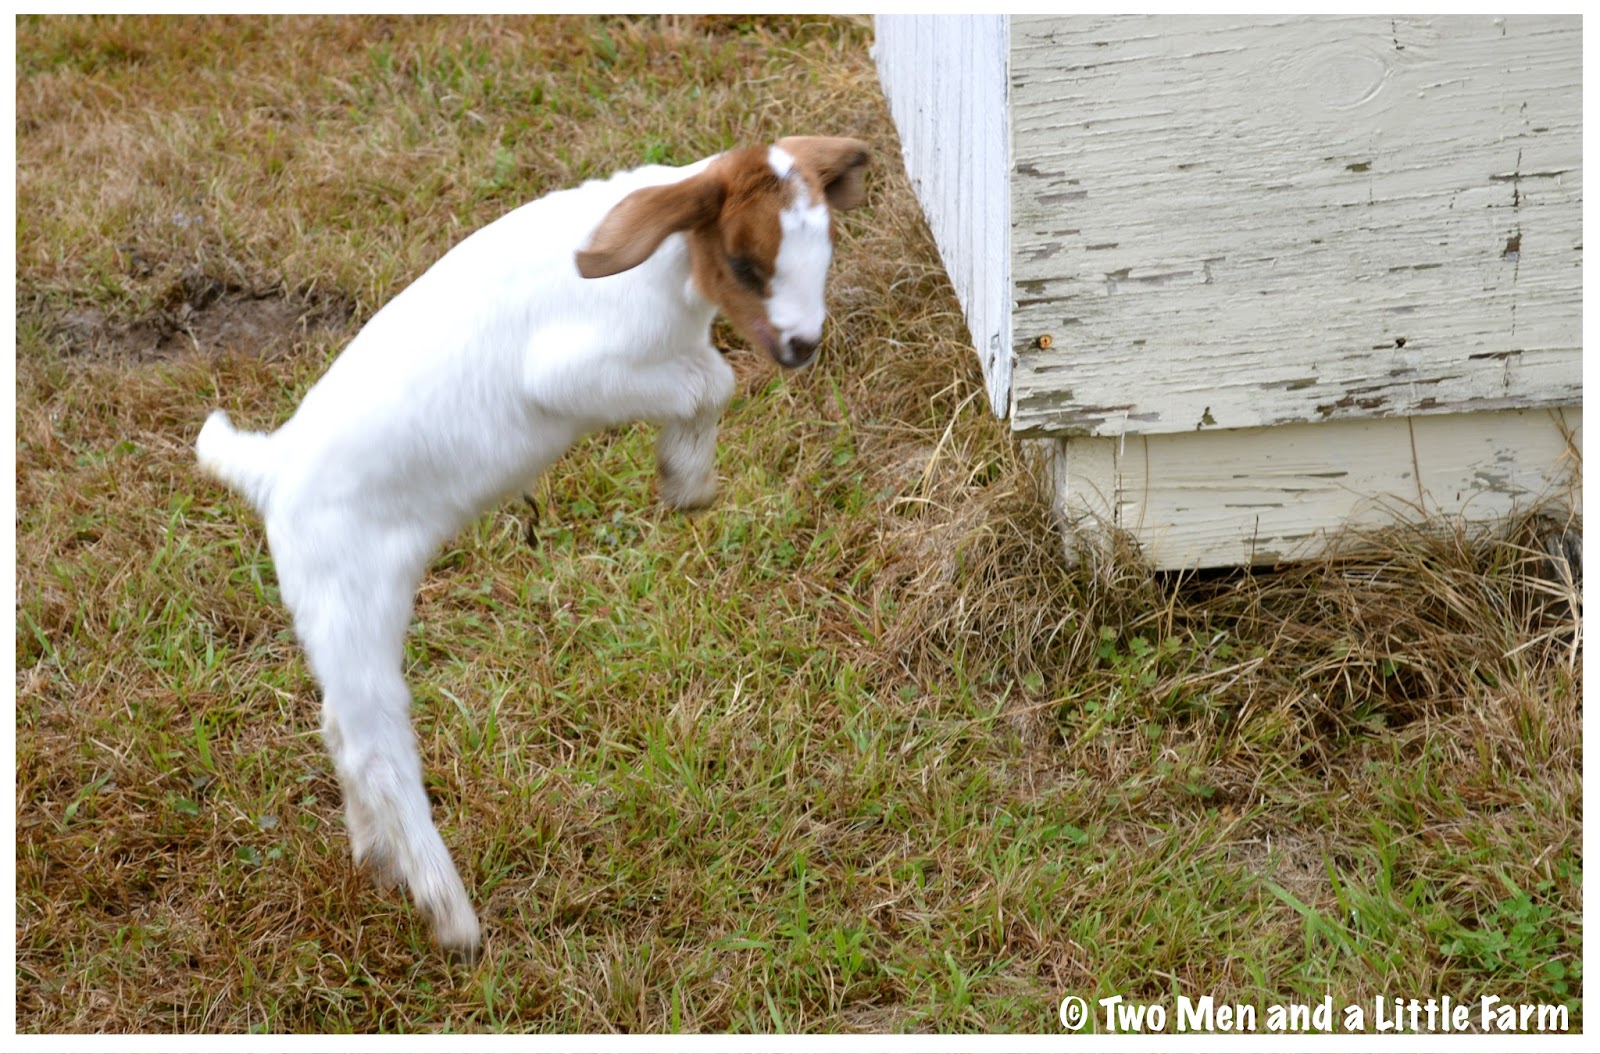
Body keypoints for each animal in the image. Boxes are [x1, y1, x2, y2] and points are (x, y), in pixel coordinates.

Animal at [196, 137, 870, 959]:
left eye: (823, 245)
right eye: (745, 263)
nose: (803, 346)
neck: (668, 269)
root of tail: (272, 468)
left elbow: (710, 381)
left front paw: (687, 478)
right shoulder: (574, 373)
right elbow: (710, 380)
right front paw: (685, 476)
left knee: (337, 726)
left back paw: (378, 858)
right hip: (350, 597)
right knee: (375, 745)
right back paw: (449, 912)